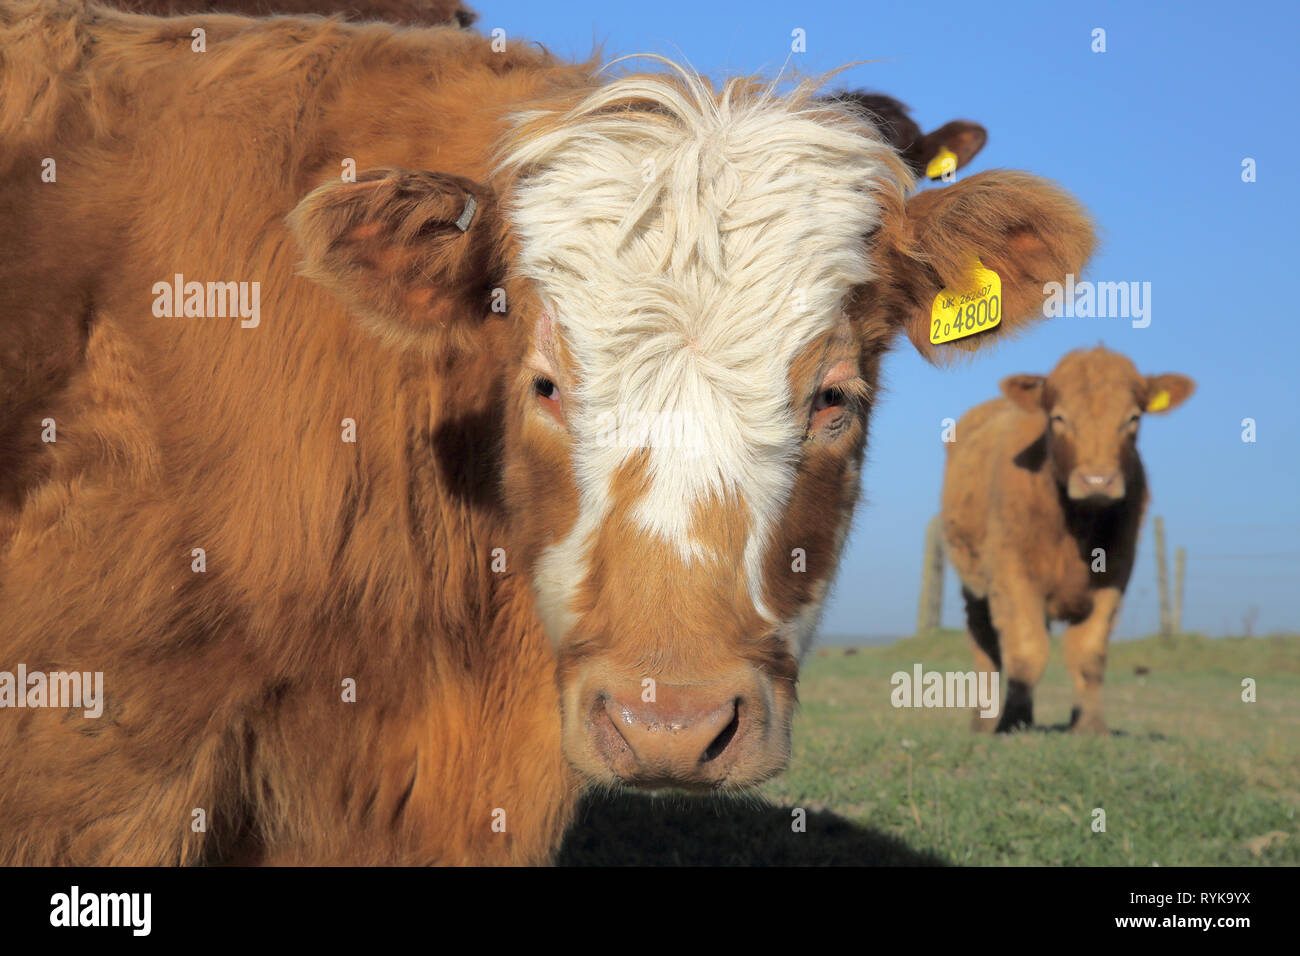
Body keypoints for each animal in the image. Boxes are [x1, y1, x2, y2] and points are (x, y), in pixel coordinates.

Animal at [941, 347, 1194, 735]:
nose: (1097, 480)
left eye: (1133, 418)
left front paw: (1089, 725)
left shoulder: (1114, 574)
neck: (1076, 524)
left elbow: (1088, 653)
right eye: (1059, 417)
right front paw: (1012, 723)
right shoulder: (1011, 572)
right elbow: (1026, 649)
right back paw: (984, 722)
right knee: (985, 645)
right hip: (974, 583)